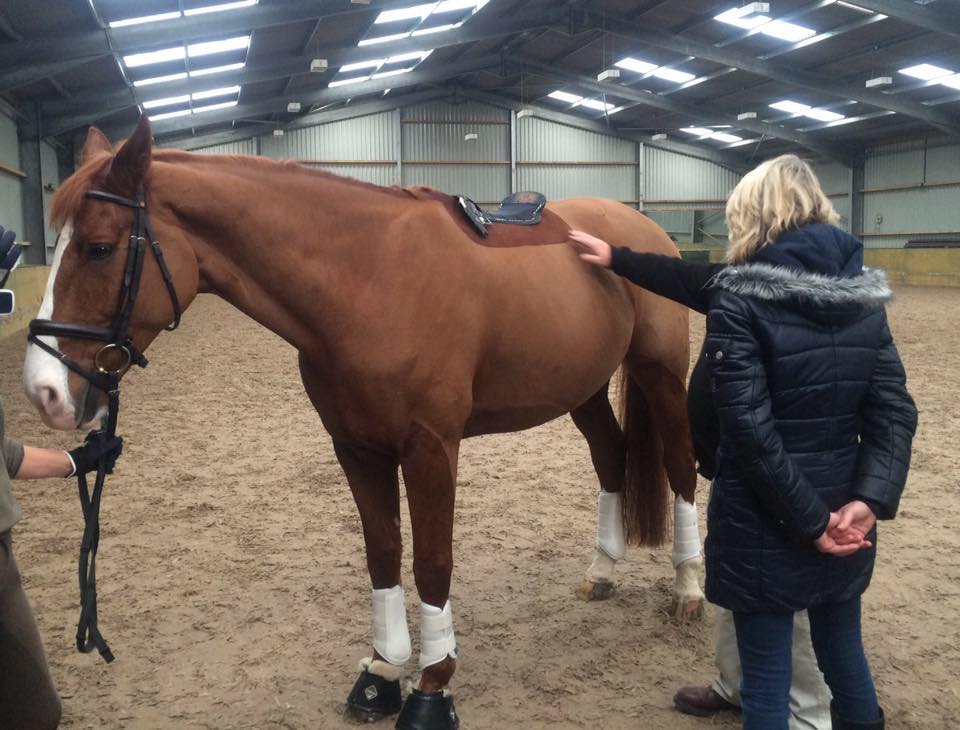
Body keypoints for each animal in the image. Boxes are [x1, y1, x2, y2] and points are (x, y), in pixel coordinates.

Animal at [23, 117, 703, 729]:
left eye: (99, 247)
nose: (45, 392)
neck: (370, 279)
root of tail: (638, 226)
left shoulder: (431, 448)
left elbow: (432, 562)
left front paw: (432, 685)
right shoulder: (355, 447)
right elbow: (384, 551)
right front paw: (382, 672)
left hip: (661, 375)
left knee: (680, 467)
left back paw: (689, 590)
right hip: (581, 389)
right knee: (611, 457)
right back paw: (602, 573)